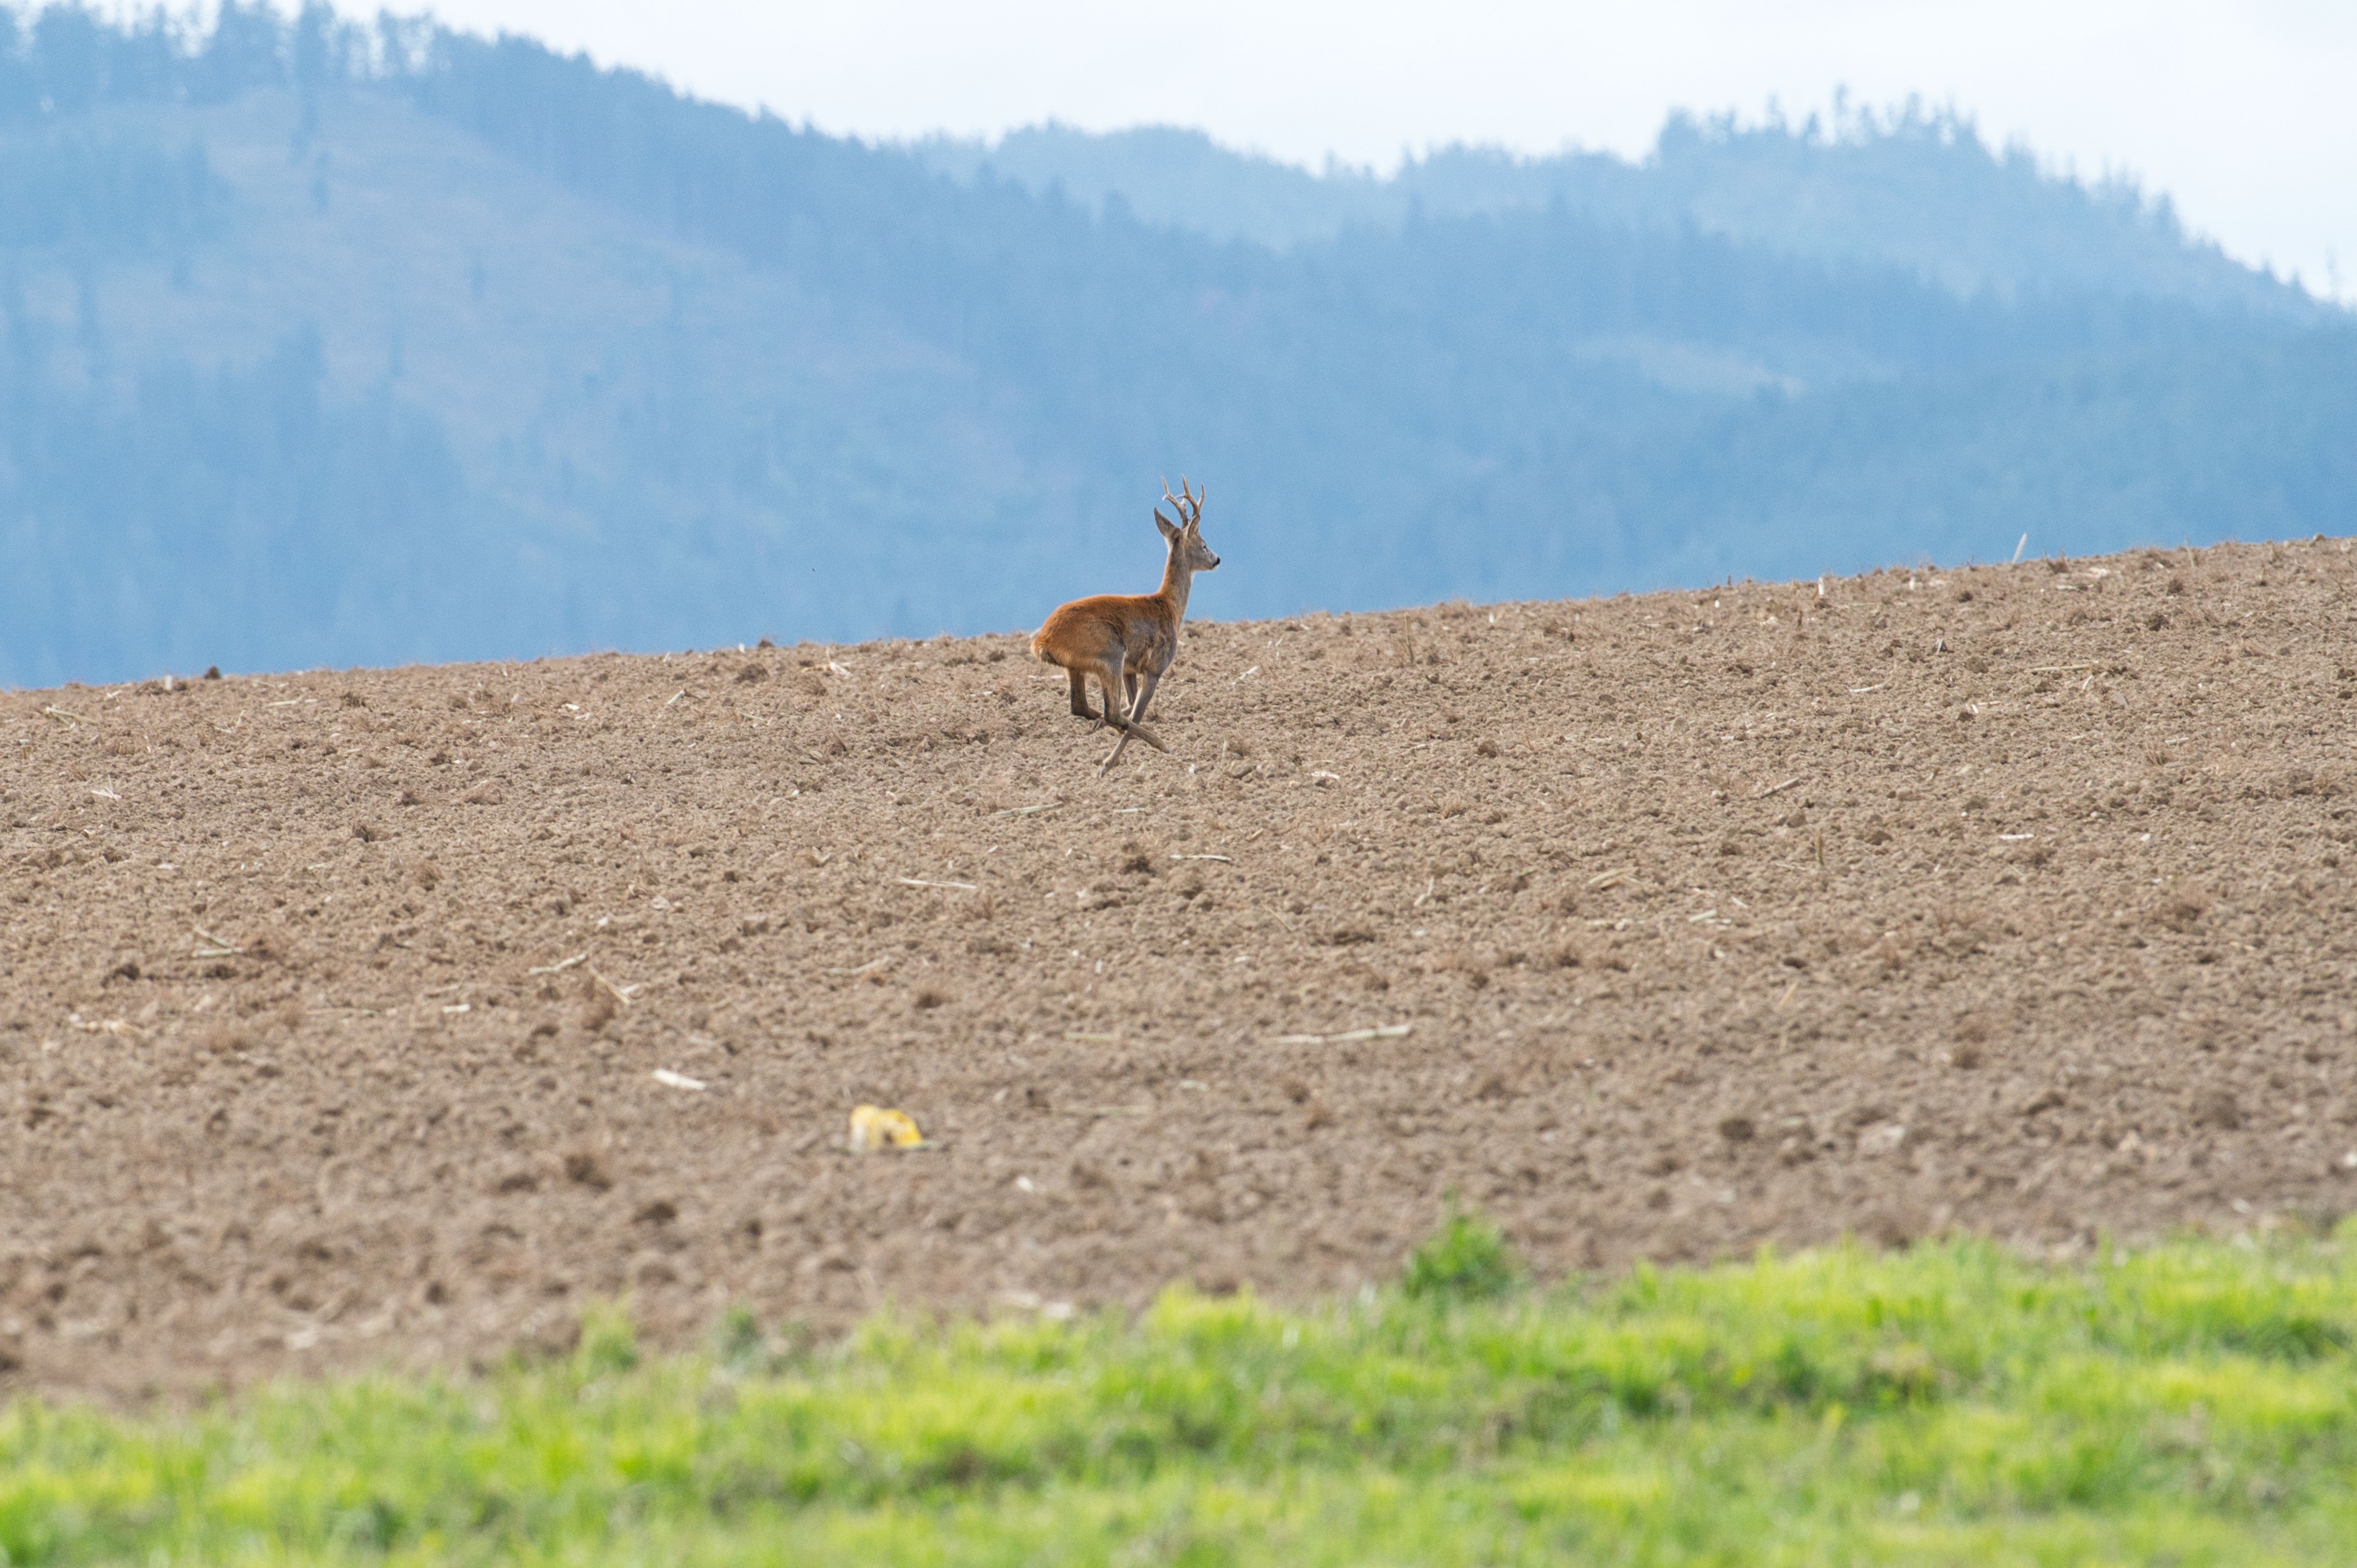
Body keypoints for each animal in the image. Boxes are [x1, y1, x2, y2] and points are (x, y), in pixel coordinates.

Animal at [1030, 478, 1220, 775]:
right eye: (1203, 543)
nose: (1217, 559)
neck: (1169, 607)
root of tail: (1042, 642)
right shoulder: (1154, 668)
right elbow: (1137, 711)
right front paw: (1109, 763)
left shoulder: (1132, 669)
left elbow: (1132, 706)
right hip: (1110, 653)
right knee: (1113, 713)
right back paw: (1158, 744)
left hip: (1080, 666)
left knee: (1083, 707)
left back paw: (1101, 725)